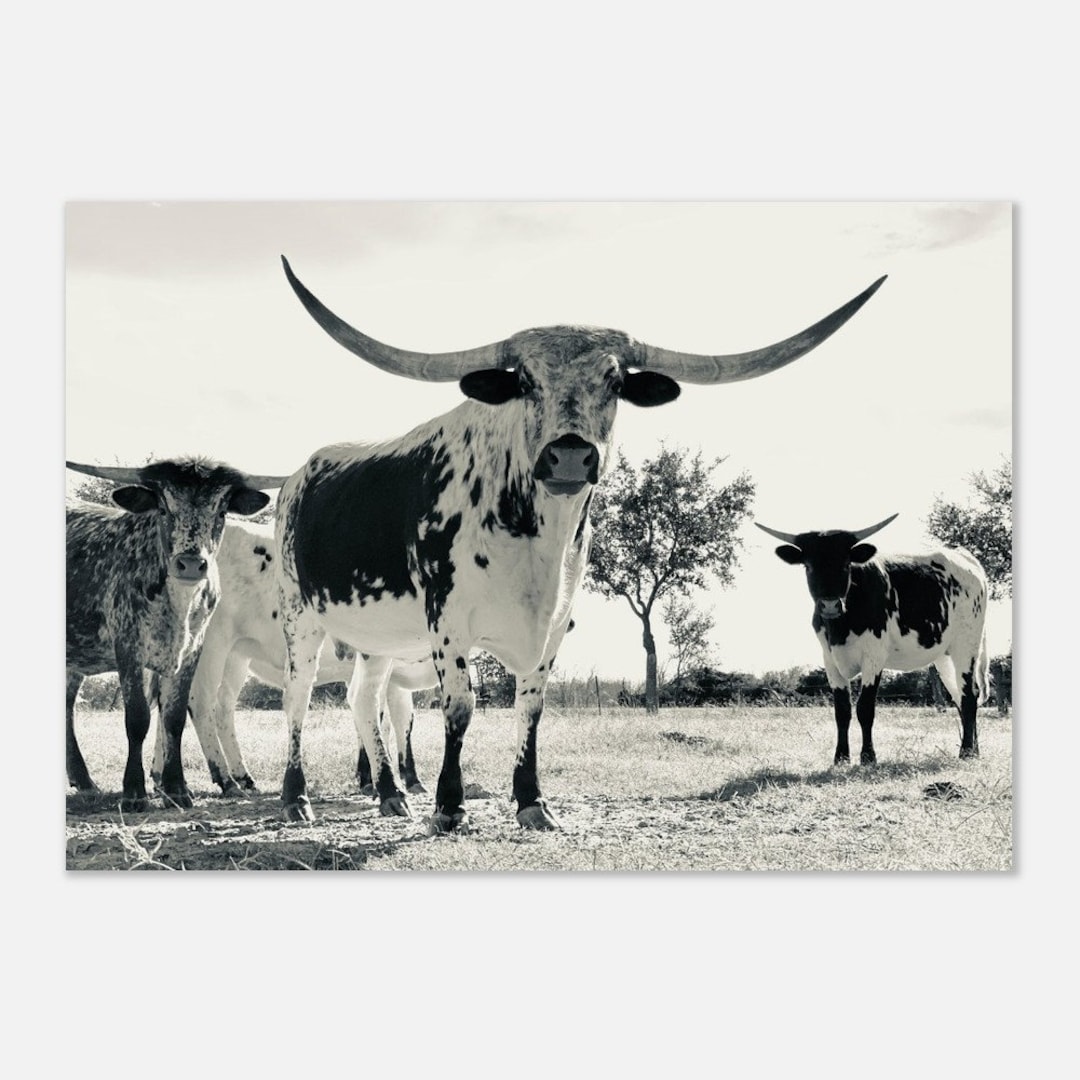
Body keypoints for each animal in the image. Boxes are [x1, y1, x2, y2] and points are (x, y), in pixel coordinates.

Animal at [66, 458, 287, 810]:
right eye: (163, 508)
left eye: (221, 511)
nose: (191, 564)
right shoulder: (128, 644)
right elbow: (137, 717)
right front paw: (134, 792)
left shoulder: (191, 649)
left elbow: (174, 716)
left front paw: (177, 788)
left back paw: (84, 780)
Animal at [274, 256, 886, 830]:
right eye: (524, 380)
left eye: (615, 383)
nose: (569, 454)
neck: (534, 536)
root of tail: (298, 476)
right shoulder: (448, 622)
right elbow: (460, 708)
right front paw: (449, 807)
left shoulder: (555, 623)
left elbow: (531, 710)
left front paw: (531, 801)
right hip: (300, 617)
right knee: (297, 697)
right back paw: (296, 797)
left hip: (377, 637)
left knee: (364, 702)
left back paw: (389, 794)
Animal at [755, 514, 990, 764]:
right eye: (808, 566)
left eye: (846, 564)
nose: (830, 605)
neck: (841, 626)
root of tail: (967, 559)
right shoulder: (829, 660)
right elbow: (842, 710)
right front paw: (841, 757)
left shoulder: (873, 657)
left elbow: (864, 708)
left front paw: (868, 756)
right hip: (943, 655)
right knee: (959, 696)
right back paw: (974, 749)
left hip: (966, 645)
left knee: (969, 695)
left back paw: (966, 751)